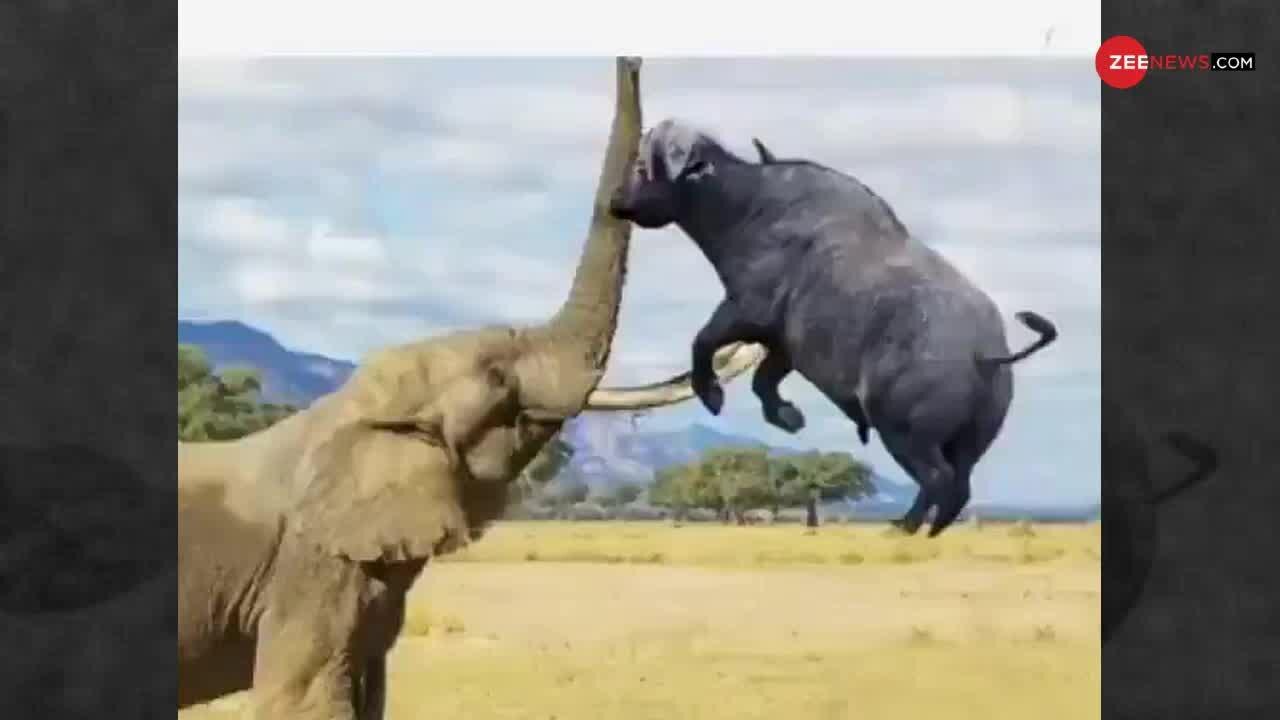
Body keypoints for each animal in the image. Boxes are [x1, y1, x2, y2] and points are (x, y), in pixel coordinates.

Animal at [607, 119, 1058, 537]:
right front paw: (790, 417)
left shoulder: (745, 311)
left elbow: (702, 343)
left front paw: (715, 397)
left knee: (939, 479)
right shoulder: (783, 346)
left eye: (643, 166)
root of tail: (985, 352)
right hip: (968, 444)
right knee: (960, 486)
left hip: (904, 432)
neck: (750, 208)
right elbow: (763, 382)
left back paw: (903, 527)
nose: (615, 202)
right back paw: (926, 530)